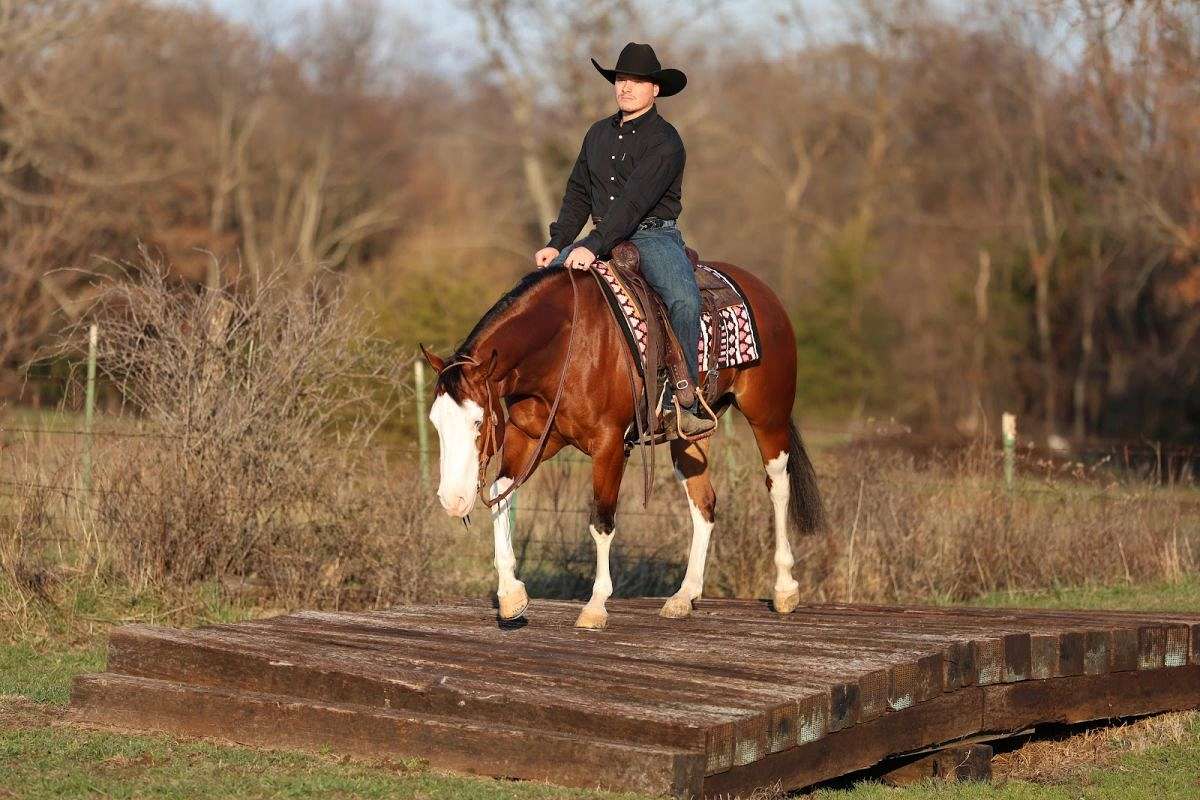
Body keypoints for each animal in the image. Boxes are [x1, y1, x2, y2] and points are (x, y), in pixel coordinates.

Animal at [419, 258, 826, 629]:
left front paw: (596, 606)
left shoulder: (610, 444)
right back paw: (684, 596)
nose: (452, 500)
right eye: (435, 422)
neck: (567, 346)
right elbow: (500, 494)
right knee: (704, 503)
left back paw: (785, 590)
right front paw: (511, 597)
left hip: (768, 416)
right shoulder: (533, 438)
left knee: (778, 486)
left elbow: (601, 520)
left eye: (478, 422)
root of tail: (762, 291)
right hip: (690, 438)